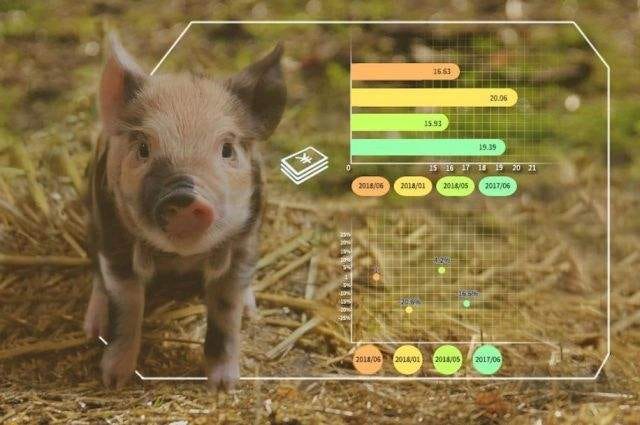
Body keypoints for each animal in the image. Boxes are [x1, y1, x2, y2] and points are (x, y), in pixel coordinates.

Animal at [83, 33, 286, 390]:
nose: (183, 195)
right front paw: (114, 380)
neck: (179, 259)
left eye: (227, 149)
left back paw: (251, 311)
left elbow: (226, 308)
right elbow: (128, 304)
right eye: (143, 148)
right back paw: (92, 329)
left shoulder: (244, 240)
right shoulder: (114, 236)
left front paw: (223, 387)